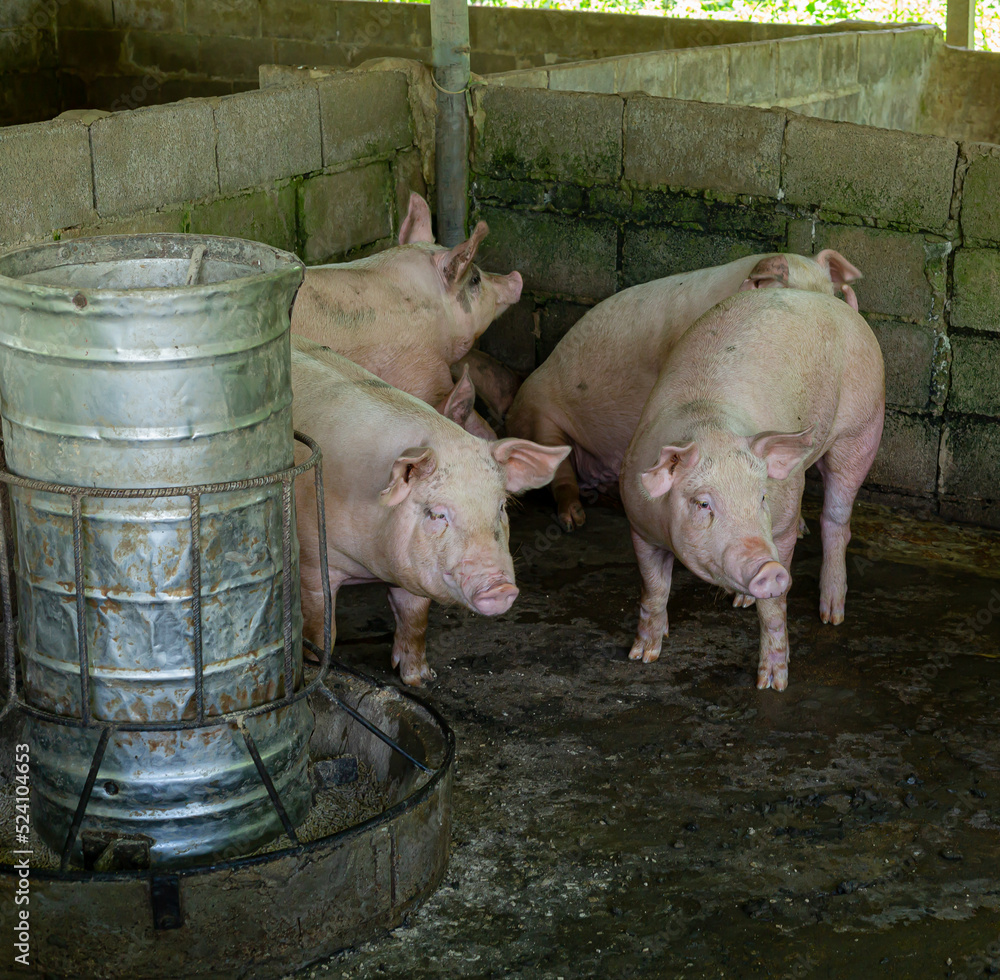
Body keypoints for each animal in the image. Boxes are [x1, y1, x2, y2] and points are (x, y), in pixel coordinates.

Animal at [291, 336, 570, 686]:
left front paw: (421, 679)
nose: (500, 586)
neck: (369, 565)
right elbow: (320, 629)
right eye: (436, 514)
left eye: (501, 506)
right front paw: (317, 671)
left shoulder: (413, 570)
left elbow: (415, 618)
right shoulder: (311, 561)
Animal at [619, 288, 884, 691]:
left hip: (863, 429)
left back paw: (831, 615)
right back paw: (742, 601)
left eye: (761, 496)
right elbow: (653, 589)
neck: (710, 425)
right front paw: (643, 655)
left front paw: (772, 684)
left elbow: (774, 607)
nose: (768, 568)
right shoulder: (639, 524)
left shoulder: (784, 523)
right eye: (703, 504)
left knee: (836, 519)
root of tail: (845, 308)